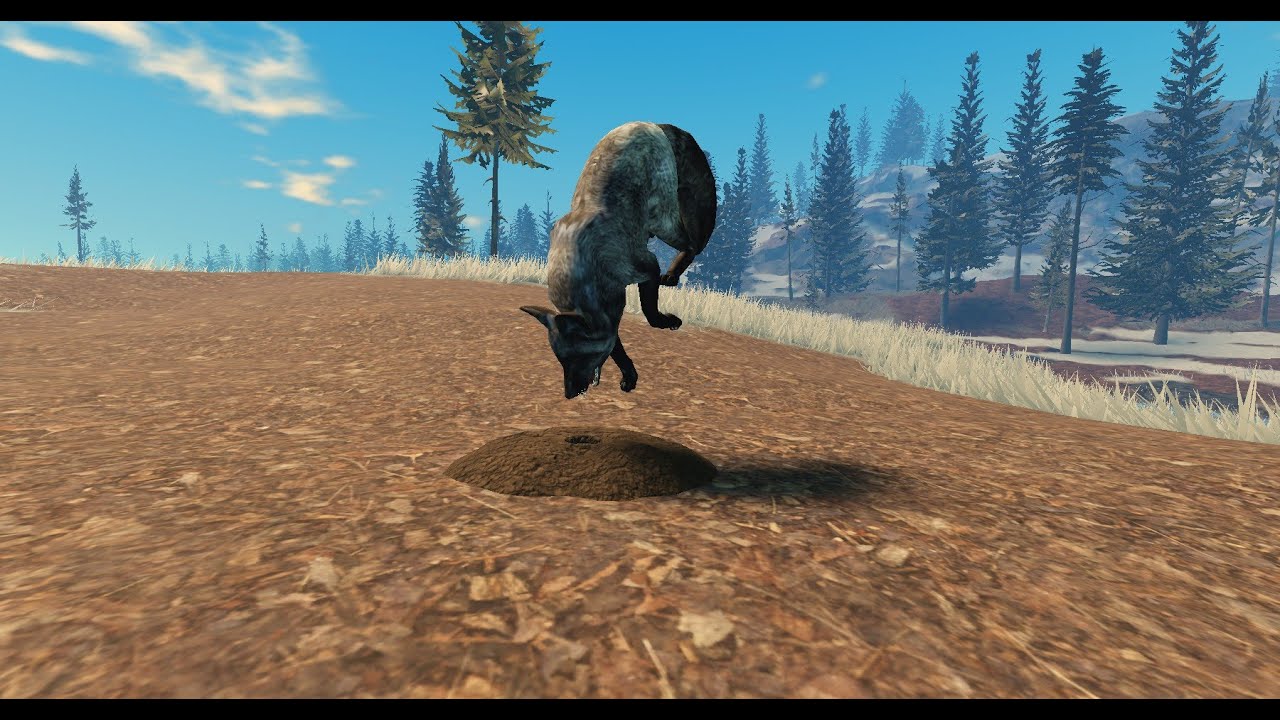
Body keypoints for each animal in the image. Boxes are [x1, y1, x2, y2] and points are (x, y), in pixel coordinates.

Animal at [520, 121, 717, 399]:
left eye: (577, 360)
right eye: (560, 360)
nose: (569, 395)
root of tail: (652, 123)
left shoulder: (648, 267)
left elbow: (649, 311)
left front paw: (664, 322)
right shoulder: (610, 313)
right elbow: (615, 347)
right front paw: (629, 374)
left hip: (666, 223)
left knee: (692, 245)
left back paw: (673, 273)